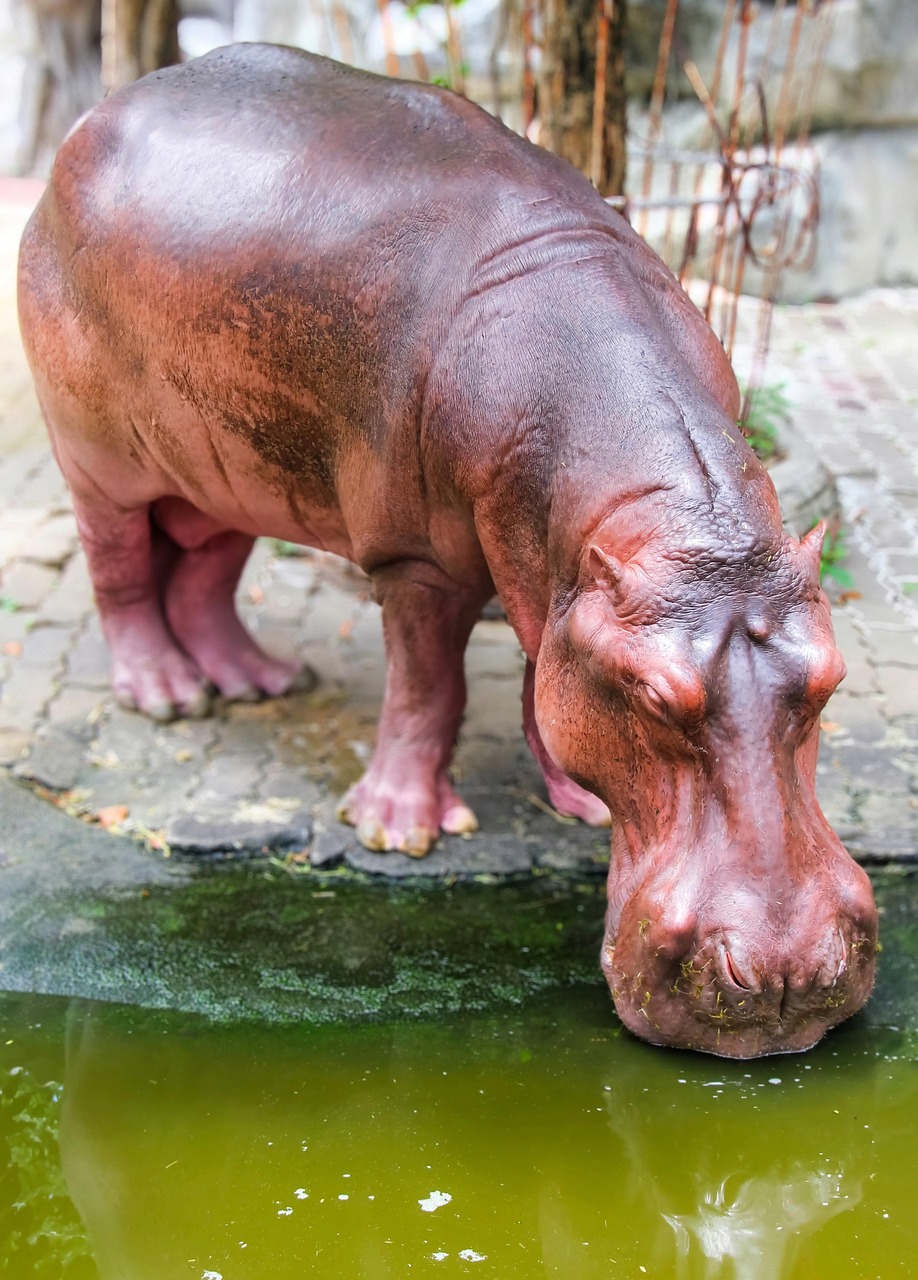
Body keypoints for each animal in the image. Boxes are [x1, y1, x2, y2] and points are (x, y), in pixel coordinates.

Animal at [17, 43, 878, 1057]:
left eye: (830, 682)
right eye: (651, 698)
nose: (786, 982)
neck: (664, 510)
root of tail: (96, 118)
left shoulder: (564, 570)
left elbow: (544, 671)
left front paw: (580, 803)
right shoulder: (419, 560)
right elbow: (430, 686)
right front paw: (400, 829)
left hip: (228, 458)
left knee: (203, 564)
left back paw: (258, 682)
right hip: (98, 455)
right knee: (117, 567)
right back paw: (170, 698)